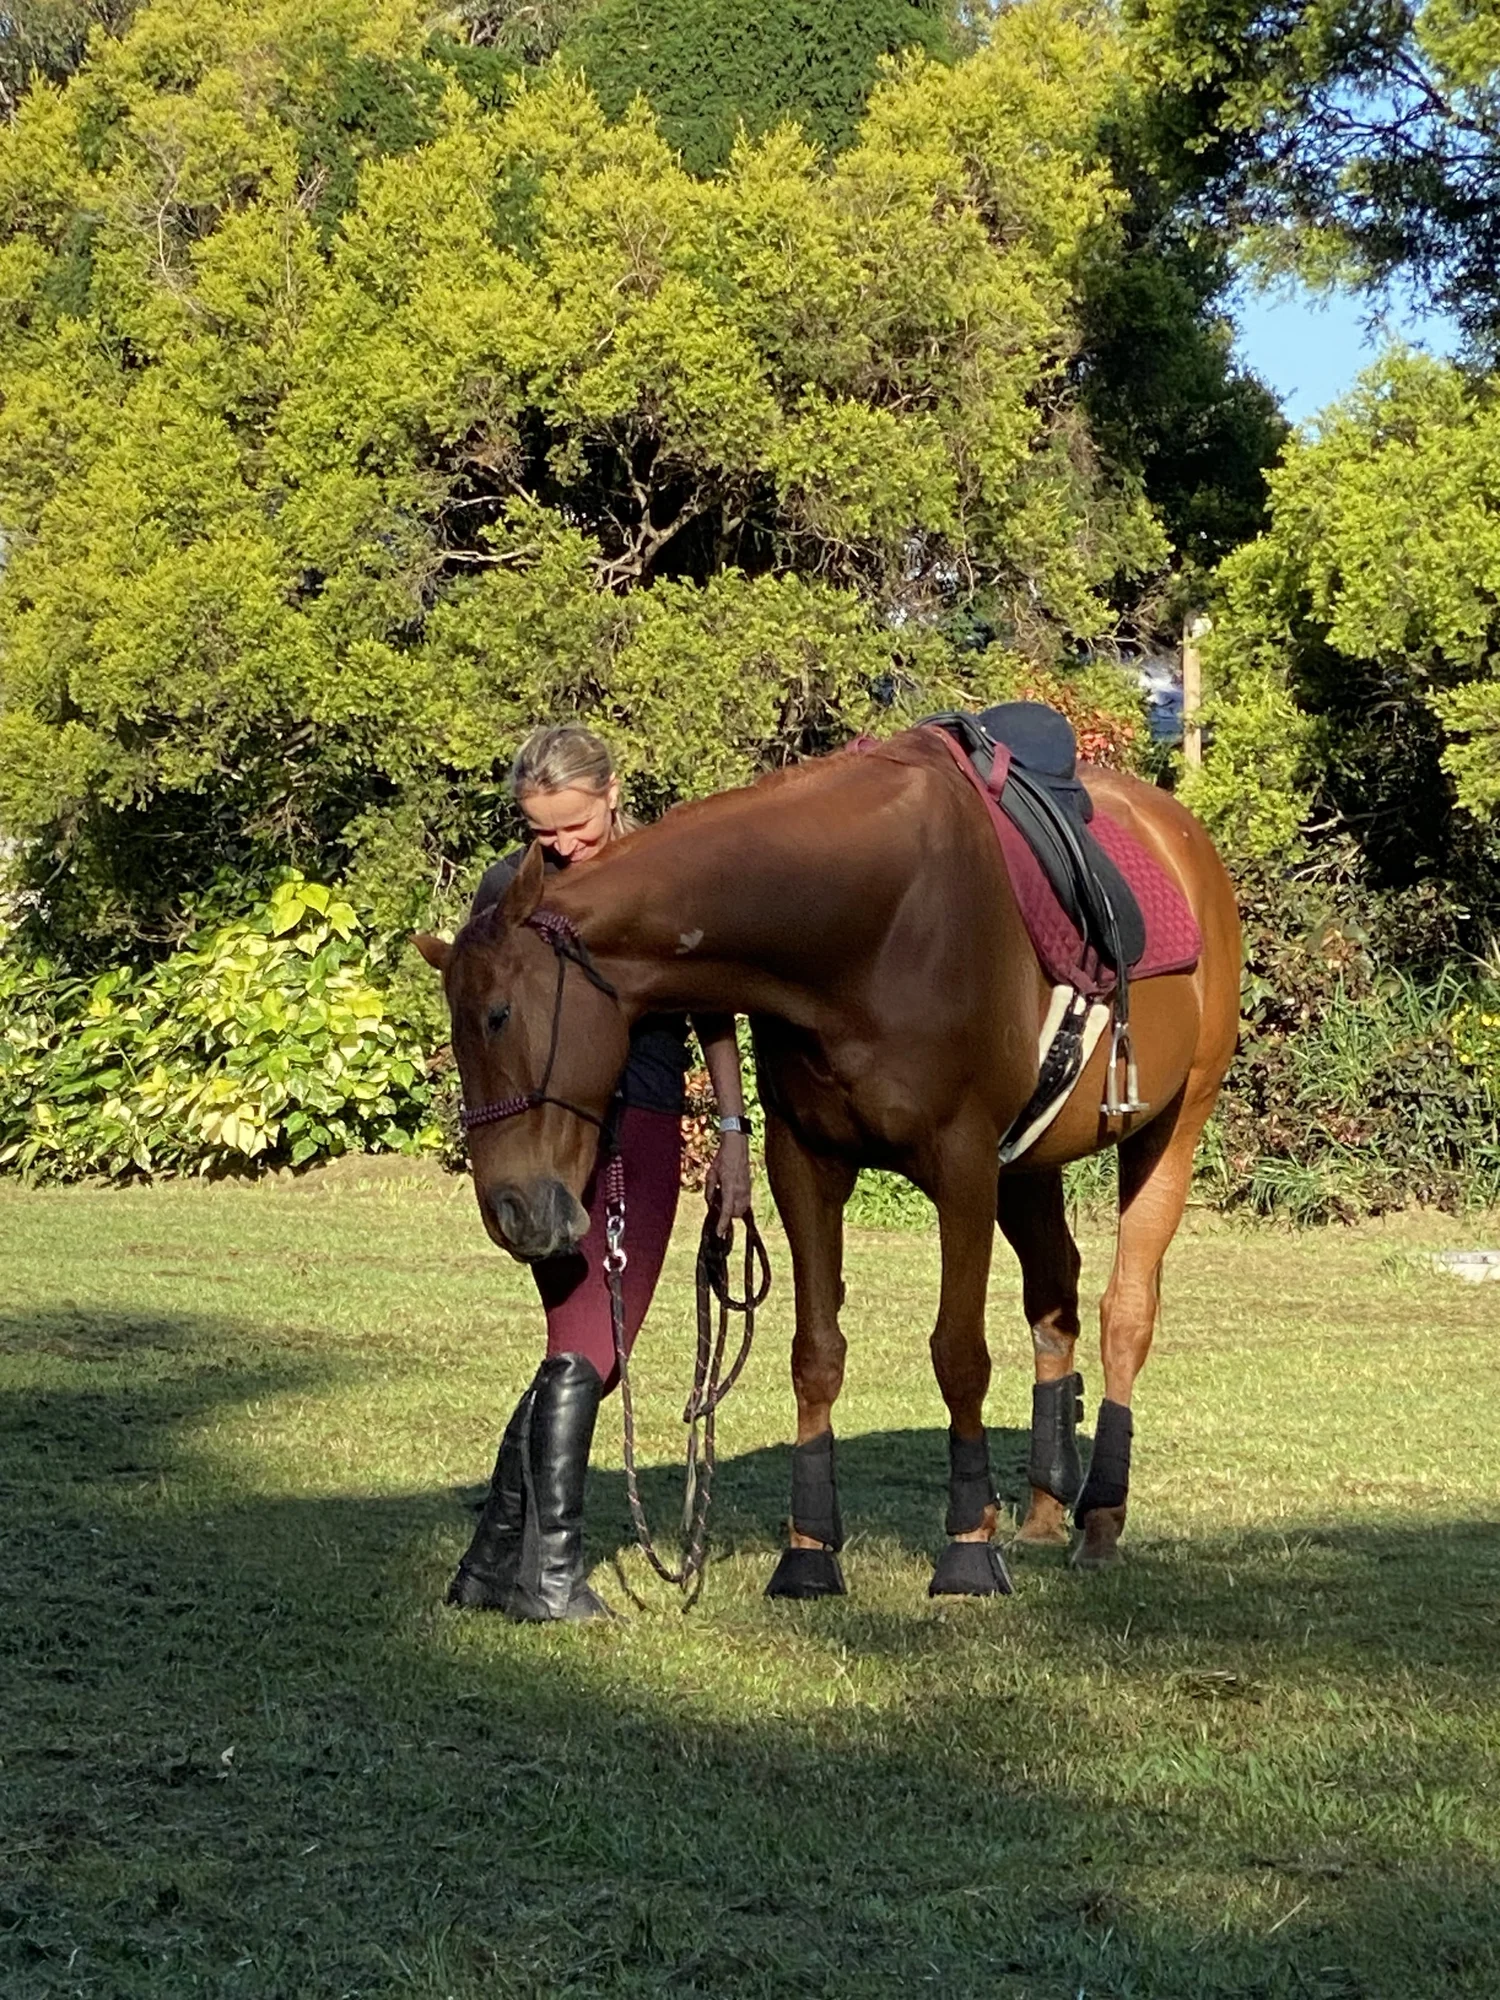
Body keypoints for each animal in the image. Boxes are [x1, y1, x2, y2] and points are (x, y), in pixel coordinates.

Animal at [415, 724, 1240, 1596]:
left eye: (499, 1016)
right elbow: (815, 1354)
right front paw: (808, 1551)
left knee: (1126, 1315)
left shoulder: (964, 1167)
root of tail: (1185, 840)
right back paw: (1048, 1510)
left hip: (1169, 1132)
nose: (510, 1210)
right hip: (1031, 1165)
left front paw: (967, 1547)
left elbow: (958, 1354)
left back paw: (1102, 1516)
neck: (867, 926)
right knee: (1055, 1299)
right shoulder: (804, 1163)